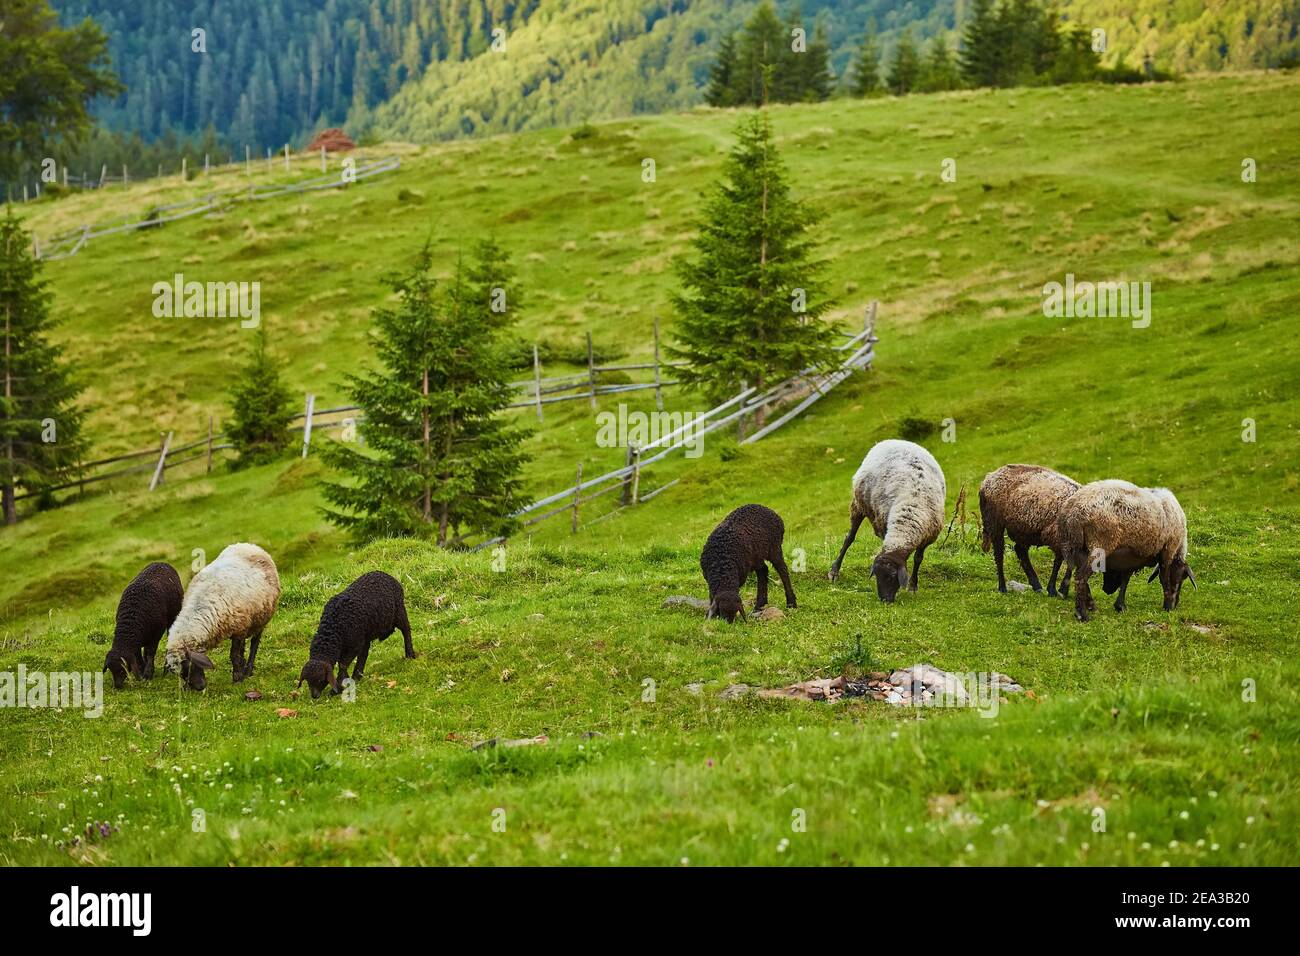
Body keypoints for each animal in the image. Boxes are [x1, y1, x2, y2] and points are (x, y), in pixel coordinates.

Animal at [164, 542, 281, 690]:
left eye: (189, 665)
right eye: (181, 673)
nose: (199, 687)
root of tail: (249, 545)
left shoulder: (239, 629)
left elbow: (234, 655)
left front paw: (237, 678)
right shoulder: (240, 627)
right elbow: (237, 653)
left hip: (261, 617)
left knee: (255, 642)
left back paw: (248, 670)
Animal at [297, 571, 416, 699]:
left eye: (320, 680)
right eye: (308, 681)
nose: (314, 696)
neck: (333, 630)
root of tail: (386, 575)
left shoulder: (354, 644)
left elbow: (343, 665)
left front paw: (338, 687)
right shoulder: (356, 642)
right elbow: (345, 663)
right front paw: (345, 682)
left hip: (399, 611)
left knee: (406, 631)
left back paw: (410, 654)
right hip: (367, 632)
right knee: (364, 653)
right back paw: (357, 675)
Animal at [828, 439, 946, 602]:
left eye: (892, 576)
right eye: (877, 575)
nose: (885, 600)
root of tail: (893, 440)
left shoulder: (928, 536)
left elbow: (918, 558)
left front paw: (912, 586)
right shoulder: (885, 525)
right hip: (859, 505)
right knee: (849, 538)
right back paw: (834, 571)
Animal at [979, 464, 1080, 597]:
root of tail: (989, 477)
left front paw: (1063, 590)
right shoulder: (1059, 536)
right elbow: (1060, 562)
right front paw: (1054, 590)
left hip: (1023, 527)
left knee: (1020, 550)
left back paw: (1036, 585)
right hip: (994, 522)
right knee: (999, 554)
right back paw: (1002, 587)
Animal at [1057, 479, 1196, 622]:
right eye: (1182, 578)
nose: (1176, 604)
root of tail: (1072, 513)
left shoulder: (1131, 558)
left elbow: (1125, 579)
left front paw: (1120, 606)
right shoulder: (1168, 551)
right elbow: (1164, 580)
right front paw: (1167, 606)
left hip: (1078, 547)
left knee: (1079, 574)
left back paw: (1089, 606)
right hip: (1099, 545)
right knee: (1081, 577)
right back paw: (1082, 614)